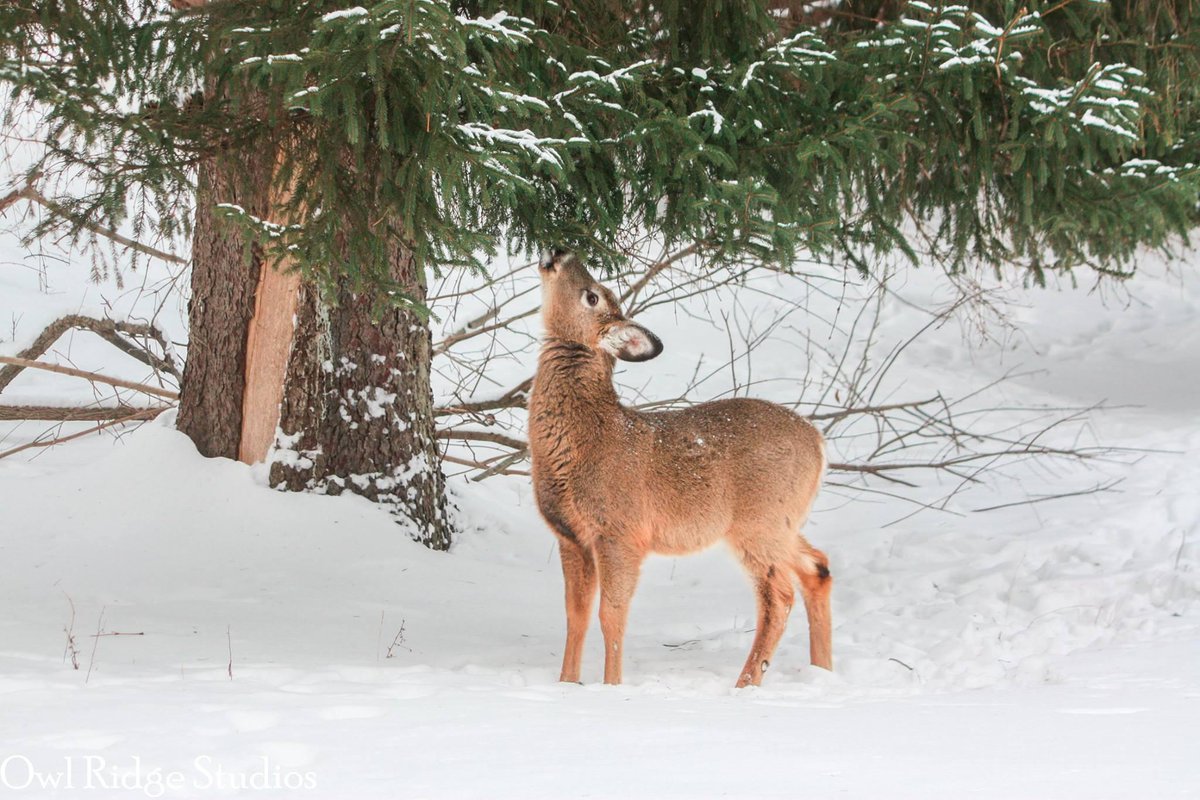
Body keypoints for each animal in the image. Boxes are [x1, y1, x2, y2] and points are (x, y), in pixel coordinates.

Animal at [527, 249, 832, 688]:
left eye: (593, 296)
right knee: (818, 567)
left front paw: (611, 686)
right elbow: (576, 615)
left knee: (780, 595)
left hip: (759, 521)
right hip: (782, 522)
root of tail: (819, 444)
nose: (560, 252)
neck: (583, 440)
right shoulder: (570, 535)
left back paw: (746, 683)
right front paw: (567, 684)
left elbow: (611, 615)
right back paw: (822, 671)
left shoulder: (621, 531)